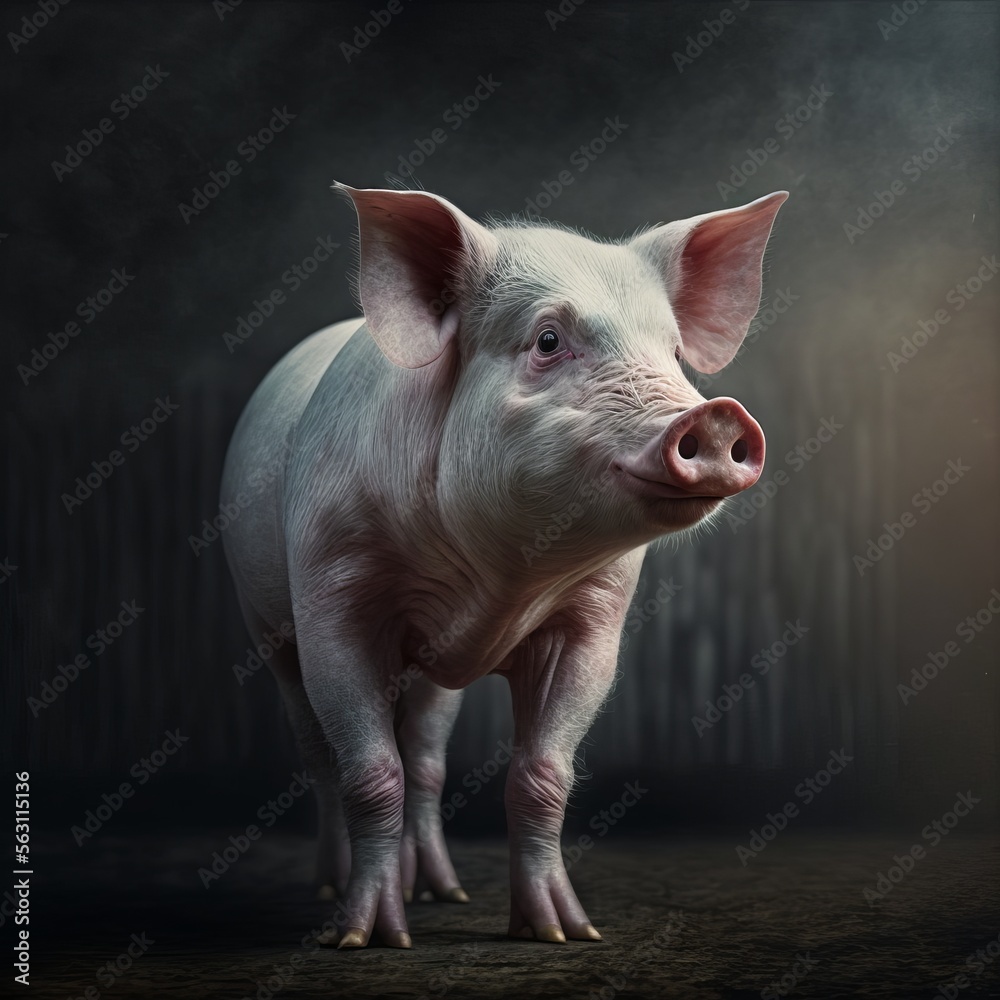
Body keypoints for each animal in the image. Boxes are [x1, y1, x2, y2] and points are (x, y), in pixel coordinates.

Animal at [221, 183, 787, 948]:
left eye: (673, 351)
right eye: (547, 340)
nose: (720, 415)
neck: (499, 583)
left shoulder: (593, 621)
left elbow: (542, 773)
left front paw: (562, 933)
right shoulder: (332, 597)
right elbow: (370, 772)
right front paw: (371, 940)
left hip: (432, 678)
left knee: (427, 758)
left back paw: (443, 893)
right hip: (267, 627)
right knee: (321, 758)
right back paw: (336, 894)